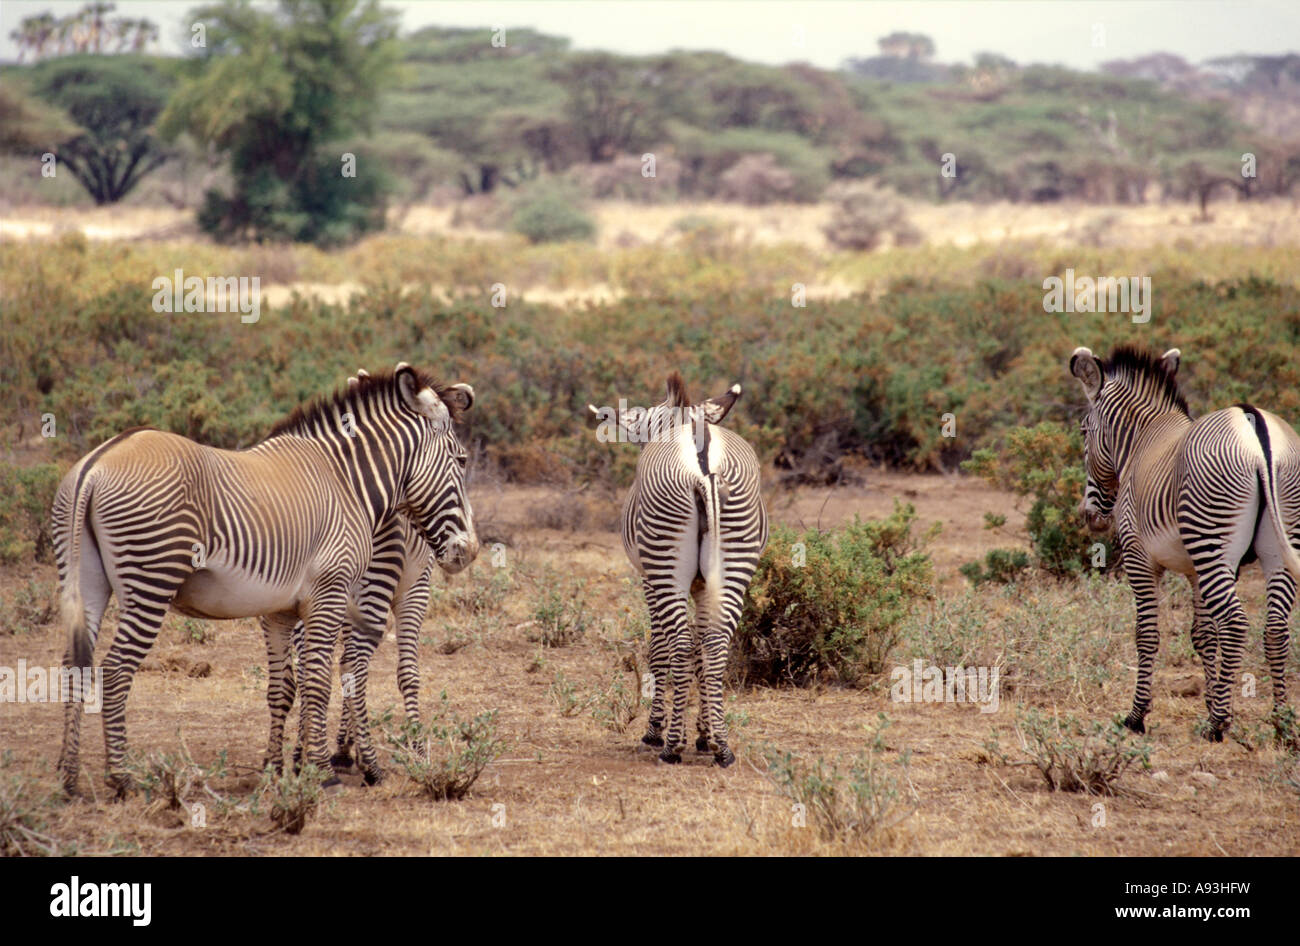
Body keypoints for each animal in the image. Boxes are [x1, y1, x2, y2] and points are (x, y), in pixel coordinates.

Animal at [53, 363, 478, 796]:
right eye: (461, 460)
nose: (470, 550)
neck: (345, 480)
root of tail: (96, 464)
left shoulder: (280, 611)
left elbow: (282, 687)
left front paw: (278, 769)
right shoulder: (329, 593)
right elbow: (320, 681)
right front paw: (322, 774)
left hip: (83, 578)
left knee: (75, 663)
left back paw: (69, 778)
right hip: (150, 580)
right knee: (115, 669)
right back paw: (122, 778)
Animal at [587, 372, 768, 766]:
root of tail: (704, 465)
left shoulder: (647, 579)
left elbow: (658, 649)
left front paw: (659, 730)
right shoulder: (700, 584)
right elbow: (702, 649)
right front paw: (703, 733)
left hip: (664, 562)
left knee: (681, 645)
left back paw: (670, 745)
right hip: (735, 562)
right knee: (715, 644)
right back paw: (722, 746)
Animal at [1071, 344, 1300, 739]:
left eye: (1084, 432)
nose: (1091, 516)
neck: (1142, 442)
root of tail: (1253, 424)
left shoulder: (1139, 557)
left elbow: (1146, 634)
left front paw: (1136, 716)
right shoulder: (1196, 571)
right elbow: (1203, 634)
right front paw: (1212, 702)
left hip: (1211, 539)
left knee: (1236, 623)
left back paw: (1217, 726)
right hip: (1277, 542)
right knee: (1276, 629)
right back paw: (1280, 722)